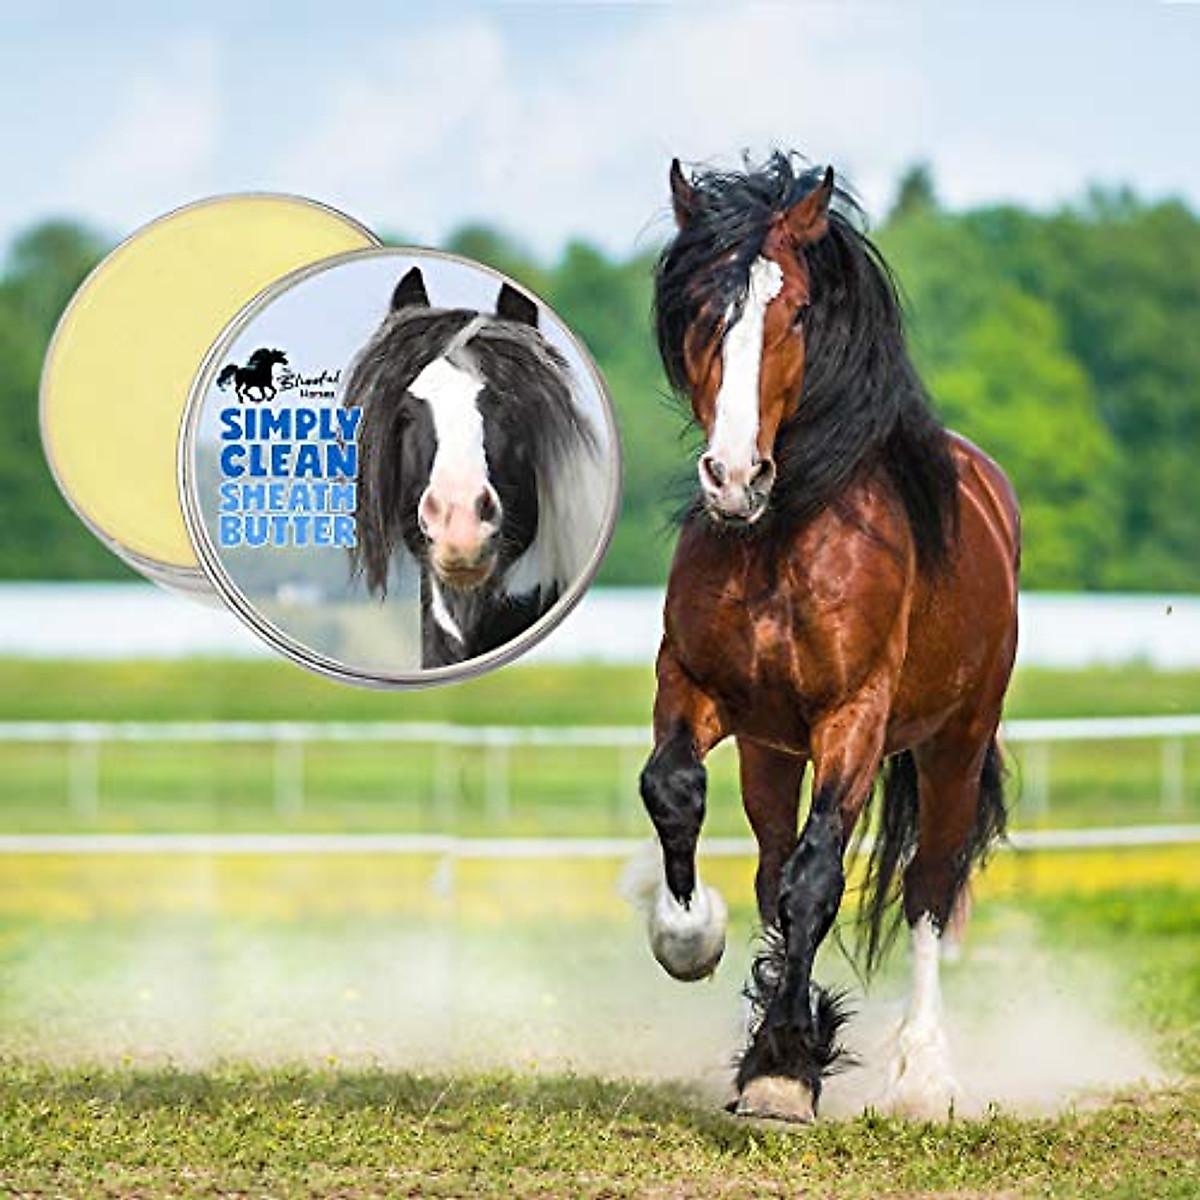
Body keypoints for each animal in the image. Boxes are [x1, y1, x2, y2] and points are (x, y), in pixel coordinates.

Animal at [638, 153, 1020, 1123]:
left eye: (800, 311)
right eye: (700, 307)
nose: (734, 477)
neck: (780, 537)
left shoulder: (856, 715)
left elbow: (820, 876)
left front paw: (786, 1063)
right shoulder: (696, 686)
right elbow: (673, 791)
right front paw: (691, 939)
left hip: (954, 745)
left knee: (927, 888)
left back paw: (924, 1075)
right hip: (772, 752)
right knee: (773, 866)